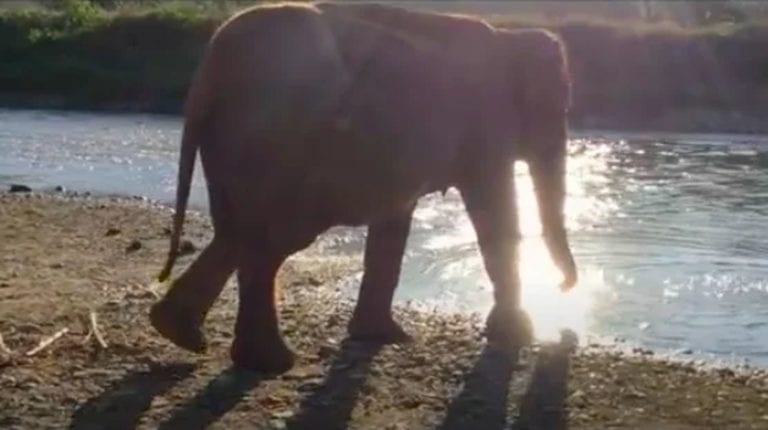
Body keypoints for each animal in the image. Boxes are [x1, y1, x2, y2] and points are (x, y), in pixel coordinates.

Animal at [150, 1, 578, 373]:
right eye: (558, 109)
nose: (564, 288)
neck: (511, 38)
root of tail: (212, 62)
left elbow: (394, 222)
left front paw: (381, 337)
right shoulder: (485, 126)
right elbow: (494, 209)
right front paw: (516, 336)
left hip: (229, 141)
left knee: (237, 234)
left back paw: (182, 334)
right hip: (277, 143)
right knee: (268, 241)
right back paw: (269, 362)